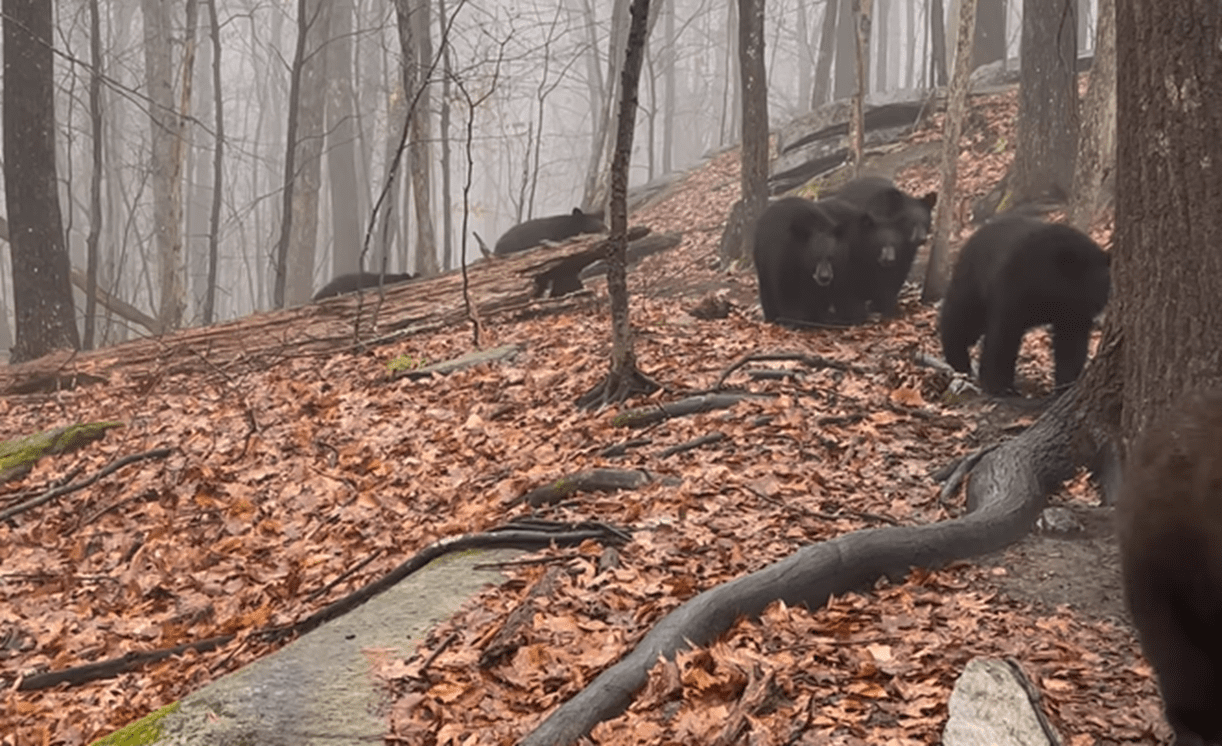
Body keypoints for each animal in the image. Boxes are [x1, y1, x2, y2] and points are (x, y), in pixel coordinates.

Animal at [833, 176, 938, 316]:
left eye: (926, 221)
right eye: (910, 221)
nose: (921, 239)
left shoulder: (905, 251)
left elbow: (896, 273)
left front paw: (886, 305)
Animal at [938, 215, 1110, 395]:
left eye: (1104, 292)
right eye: (1090, 294)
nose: (1098, 320)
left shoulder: (1072, 315)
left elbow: (1071, 343)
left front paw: (1064, 385)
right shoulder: (1017, 284)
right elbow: (1004, 333)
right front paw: (999, 385)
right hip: (973, 280)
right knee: (962, 318)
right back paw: (958, 361)